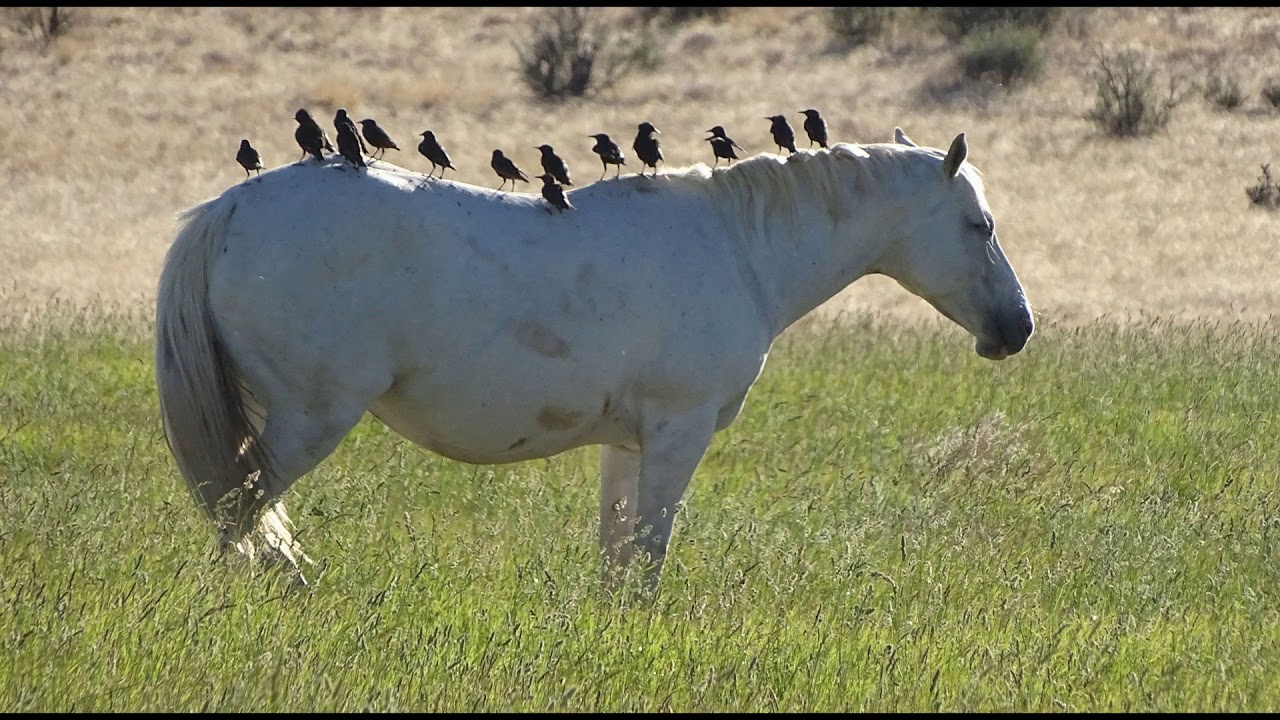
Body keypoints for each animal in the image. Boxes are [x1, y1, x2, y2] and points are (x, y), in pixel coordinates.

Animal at [155, 128, 1034, 592]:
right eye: (980, 226)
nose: (1017, 328)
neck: (738, 249)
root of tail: (229, 208)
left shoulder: (628, 445)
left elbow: (616, 556)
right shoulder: (678, 435)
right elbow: (647, 556)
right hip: (308, 418)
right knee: (240, 510)